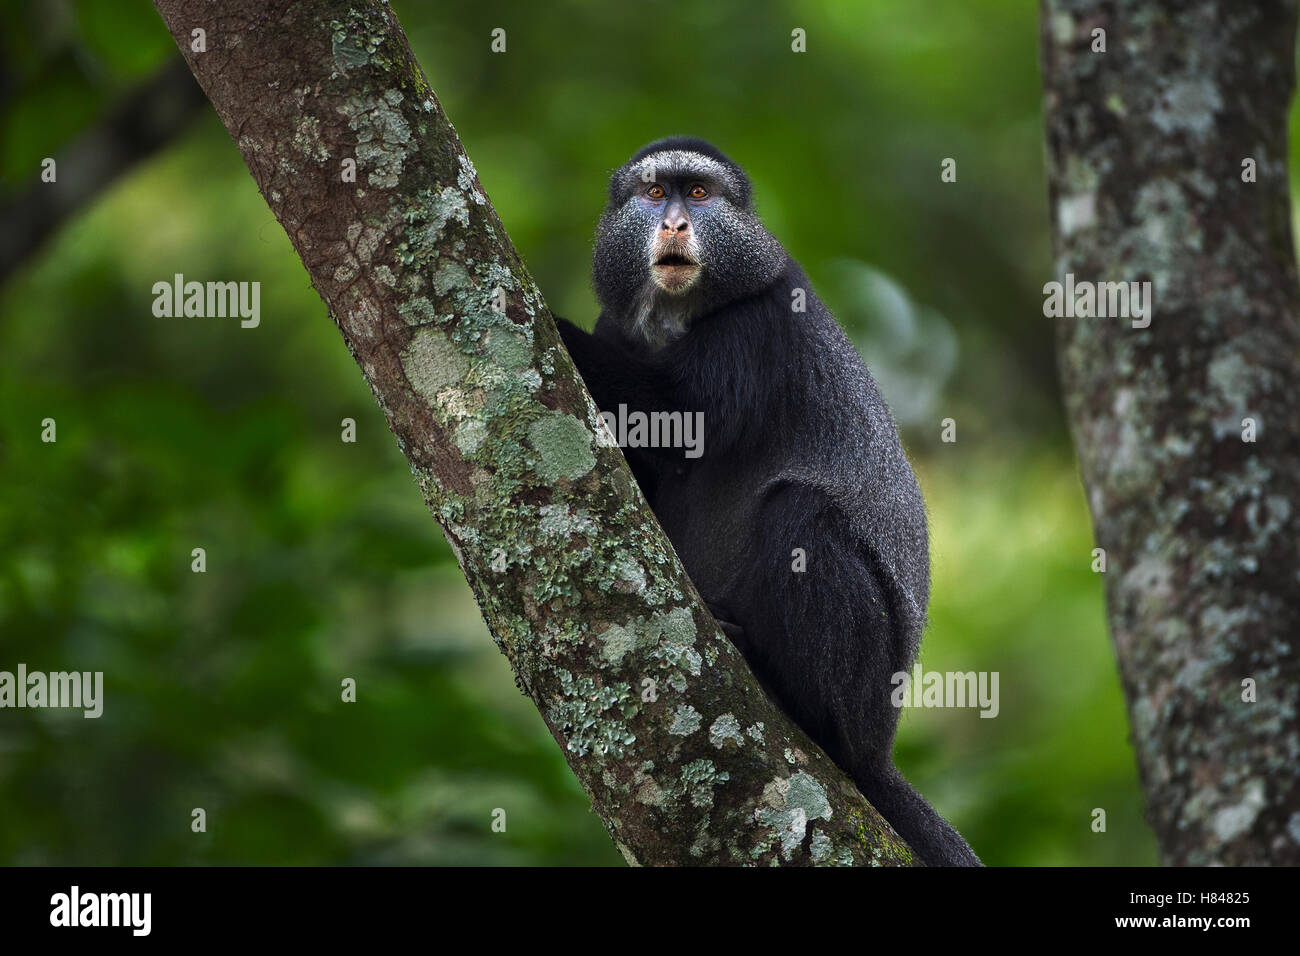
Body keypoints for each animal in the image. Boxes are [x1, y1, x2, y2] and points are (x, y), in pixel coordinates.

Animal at [553, 137, 980, 867]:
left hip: (864, 685)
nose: (674, 224)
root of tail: (878, 747)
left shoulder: (758, 325)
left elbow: (676, 418)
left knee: (801, 511)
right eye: (653, 193)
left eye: (698, 194)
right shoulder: (618, 325)